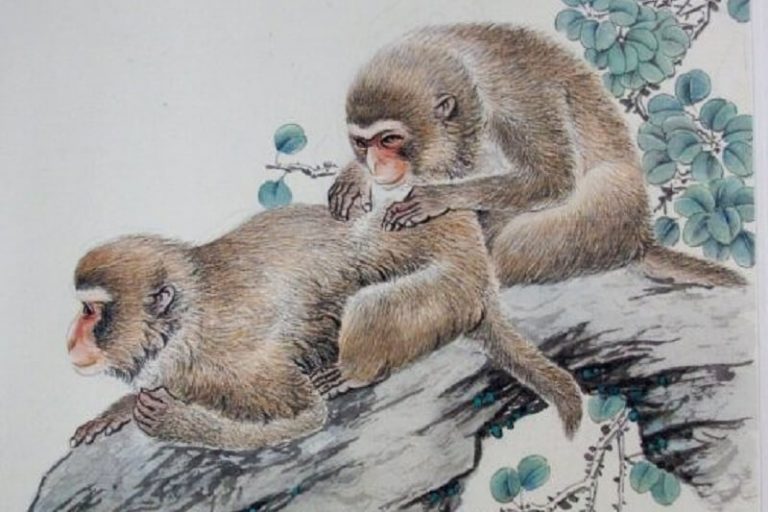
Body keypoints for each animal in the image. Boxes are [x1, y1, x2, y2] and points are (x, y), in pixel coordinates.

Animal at [67, 197, 582, 451]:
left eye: (90, 311)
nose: (71, 339)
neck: (184, 324)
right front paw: (119, 409)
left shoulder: (231, 365)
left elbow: (305, 417)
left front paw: (175, 422)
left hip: (451, 290)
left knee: (370, 306)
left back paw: (353, 373)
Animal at [328, 23, 745, 288]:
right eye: (364, 143)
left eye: (390, 139)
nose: (376, 165)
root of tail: (639, 238)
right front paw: (355, 176)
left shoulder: (518, 99)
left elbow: (552, 177)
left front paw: (435, 199)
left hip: (607, 221)